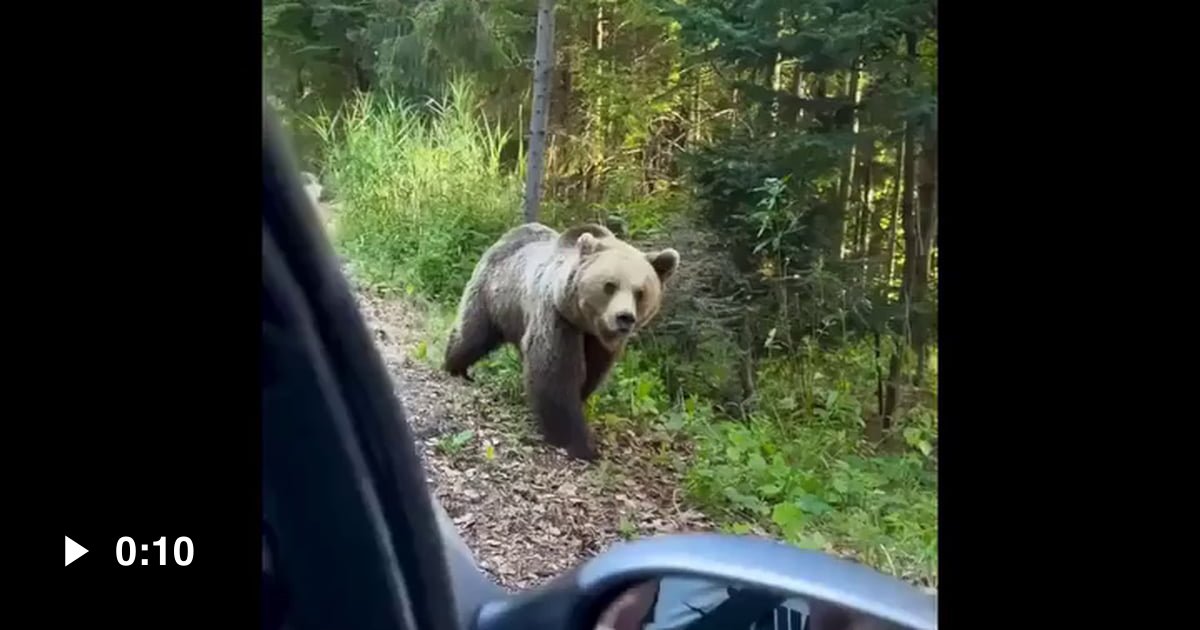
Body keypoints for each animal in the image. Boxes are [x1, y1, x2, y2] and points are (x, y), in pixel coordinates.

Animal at [443, 222, 680, 460]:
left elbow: (591, 373)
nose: (624, 317)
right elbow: (555, 374)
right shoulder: (557, 317)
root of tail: (511, 234)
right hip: (494, 295)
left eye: (640, 292)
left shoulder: (599, 343)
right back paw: (455, 367)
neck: (586, 323)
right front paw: (579, 443)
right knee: (472, 334)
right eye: (610, 285)